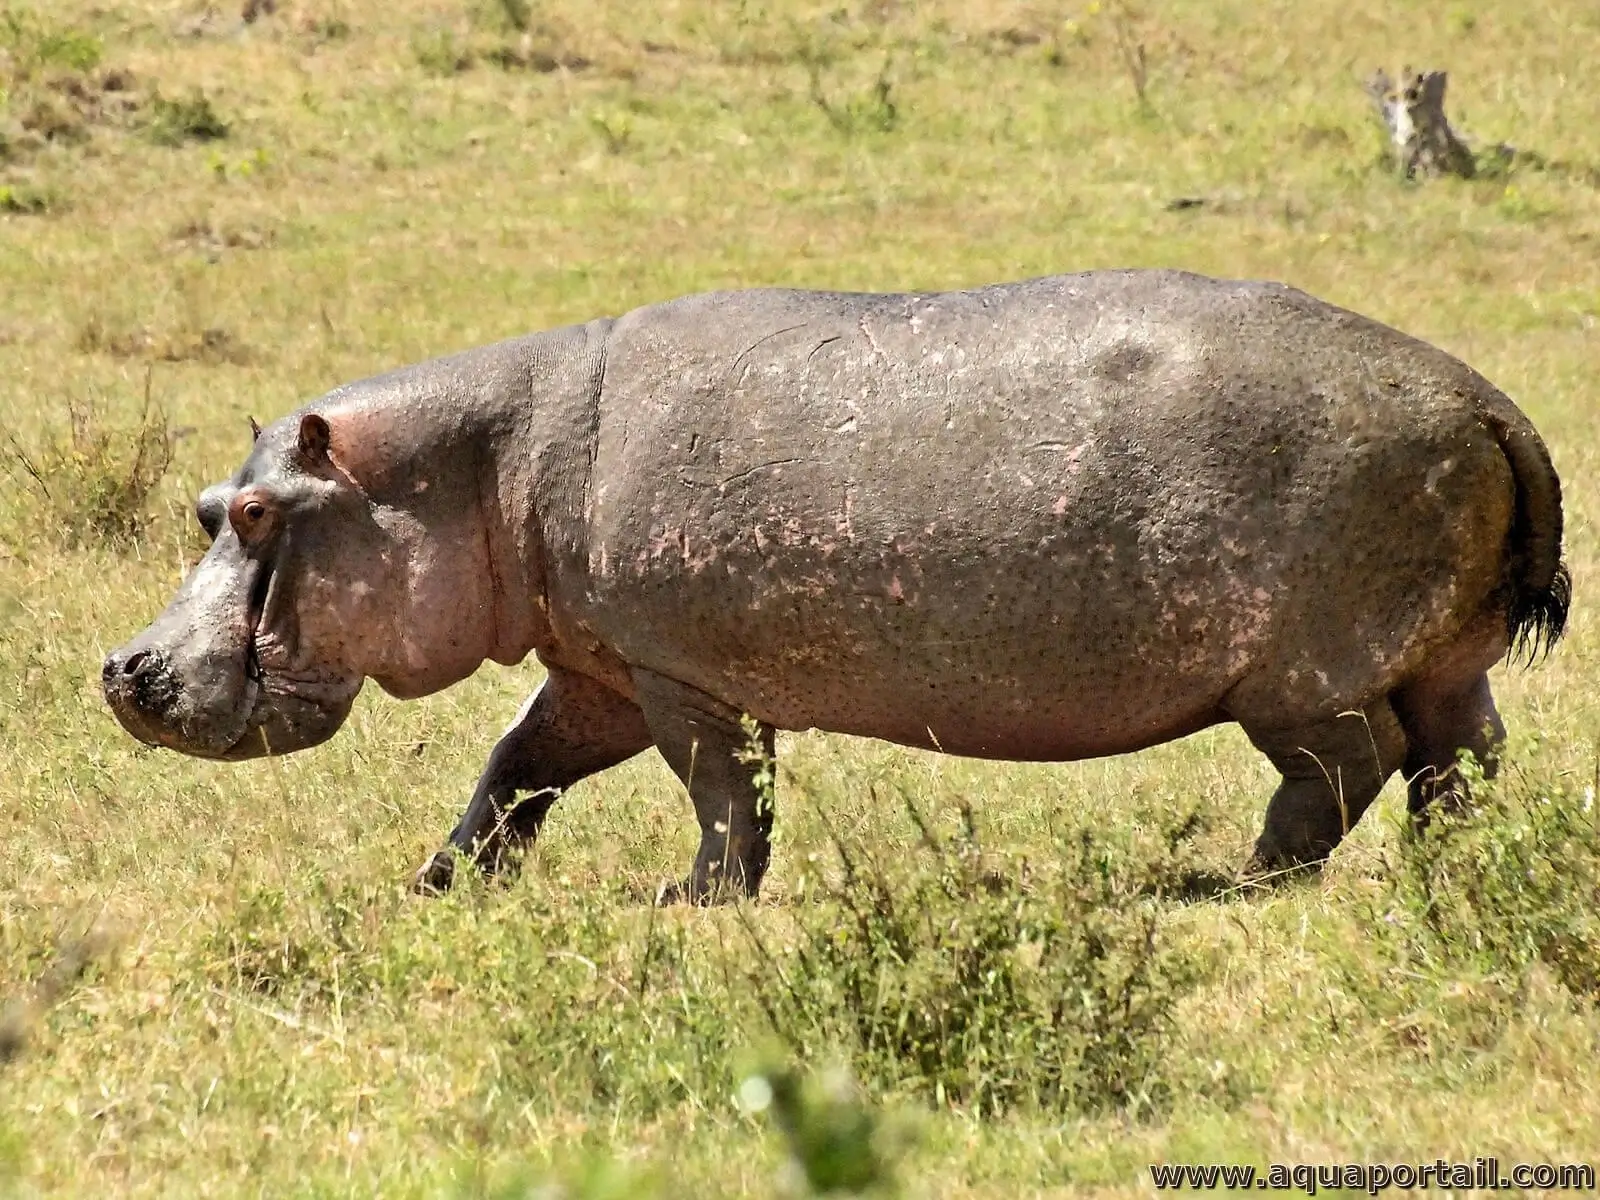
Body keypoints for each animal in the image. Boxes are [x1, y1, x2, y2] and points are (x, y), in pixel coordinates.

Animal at [102, 270, 1569, 901]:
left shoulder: (678, 675)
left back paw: (1225, 885)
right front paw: (441, 885)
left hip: (1301, 671)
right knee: (1460, 758)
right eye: (203, 506)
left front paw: (691, 903)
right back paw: (1453, 876)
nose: (123, 670)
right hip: (1445, 653)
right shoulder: (602, 666)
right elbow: (516, 767)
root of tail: (1488, 399)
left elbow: (721, 791)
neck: (478, 463)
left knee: (1344, 766)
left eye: (253, 512)